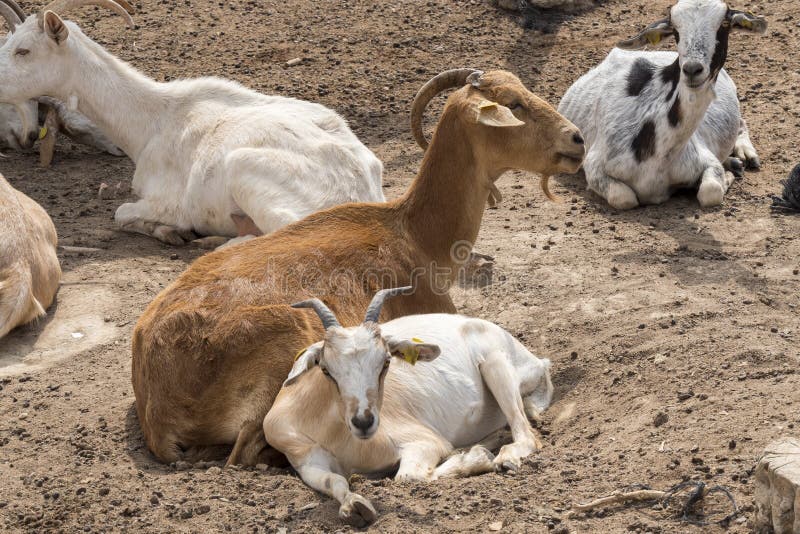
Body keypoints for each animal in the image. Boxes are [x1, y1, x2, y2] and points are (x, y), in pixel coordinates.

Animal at [130, 68, 584, 467]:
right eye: (513, 103)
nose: (576, 140)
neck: (415, 235)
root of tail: (158, 405)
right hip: (283, 352)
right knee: (245, 451)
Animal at [263, 288, 553, 527]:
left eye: (386, 361)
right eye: (325, 369)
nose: (363, 421)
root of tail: (537, 361)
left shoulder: (424, 442)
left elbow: (408, 477)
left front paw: (477, 457)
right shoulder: (306, 460)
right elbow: (333, 480)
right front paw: (355, 507)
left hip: (495, 365)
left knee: (526, 434)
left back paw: (503, 457)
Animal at [557, 0, 766, 209]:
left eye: (724, 24)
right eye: (675, 29)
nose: (692, 69)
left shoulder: (705, 159)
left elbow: (711, 192)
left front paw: (727, 176)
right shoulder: (594, 165)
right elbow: (624, 198)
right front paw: (730, 171)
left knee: (742, 123)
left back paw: (746, 156)